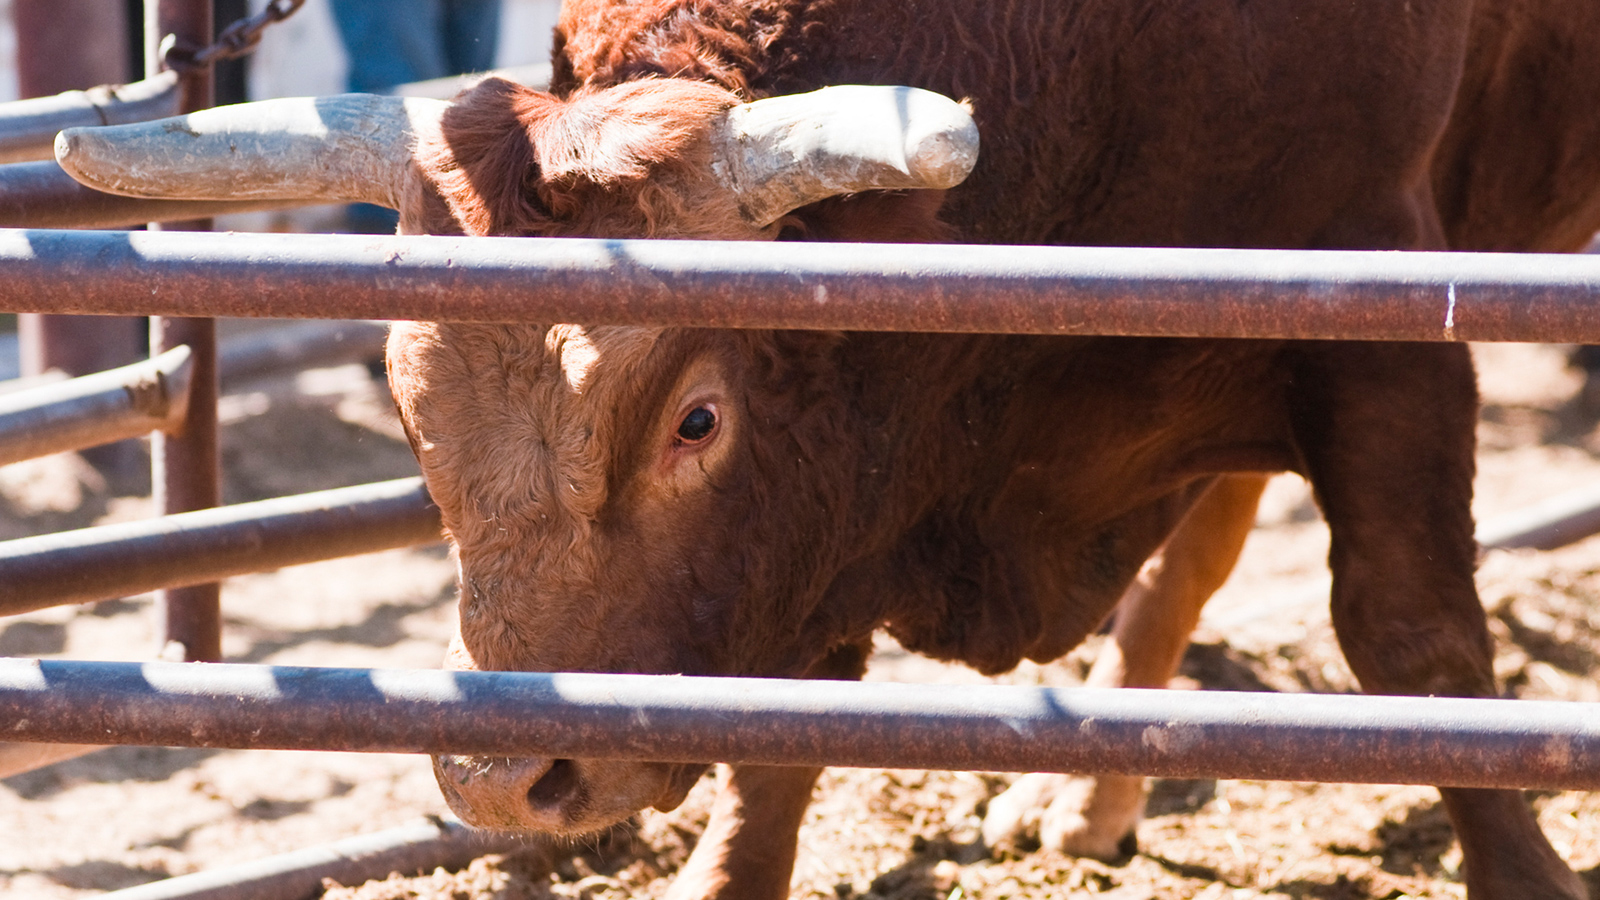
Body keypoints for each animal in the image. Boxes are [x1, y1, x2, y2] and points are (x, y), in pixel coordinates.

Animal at [53, 0, 1600, 896]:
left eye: (697, 420)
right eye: (407, 397)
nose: (502, 781)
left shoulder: (1378, 312)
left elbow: (1416, 646)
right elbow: (782, 714)